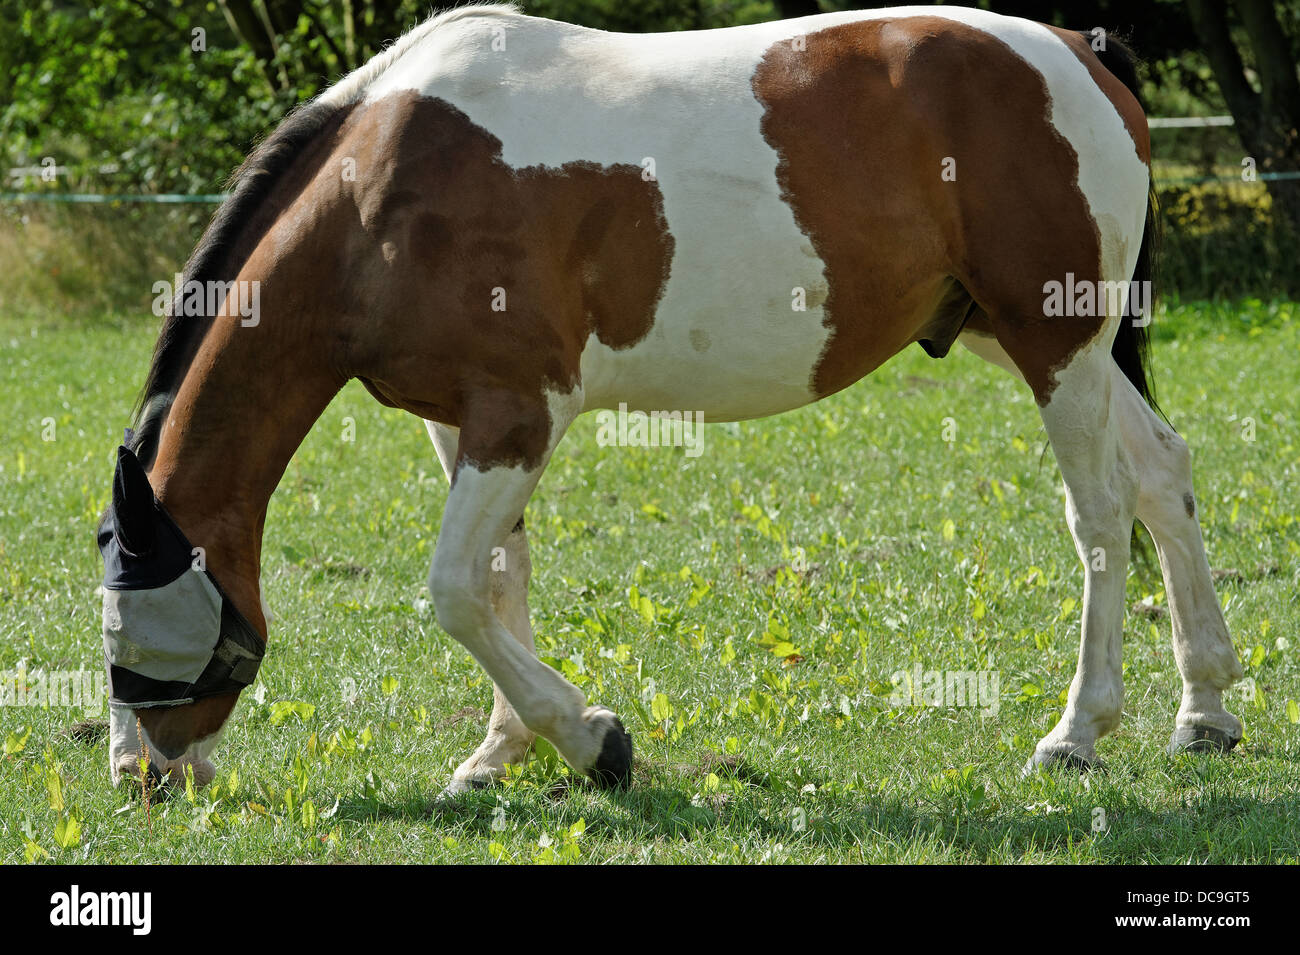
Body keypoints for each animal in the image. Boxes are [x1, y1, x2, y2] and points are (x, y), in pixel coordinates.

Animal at [98, 3, 1245, 795]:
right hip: (1026, 338)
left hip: (1056, 344)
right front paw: (501, 751)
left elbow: (457, 589)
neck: (386, 193)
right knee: (1162, 475)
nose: (144, 777)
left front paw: (592, 740)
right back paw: (1205, 708)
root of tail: (1076, 48)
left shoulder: (521, 414)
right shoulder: (459, 421)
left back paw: (1078, 732)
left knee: (1100, 514)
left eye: (141, 649)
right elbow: (501, 576)